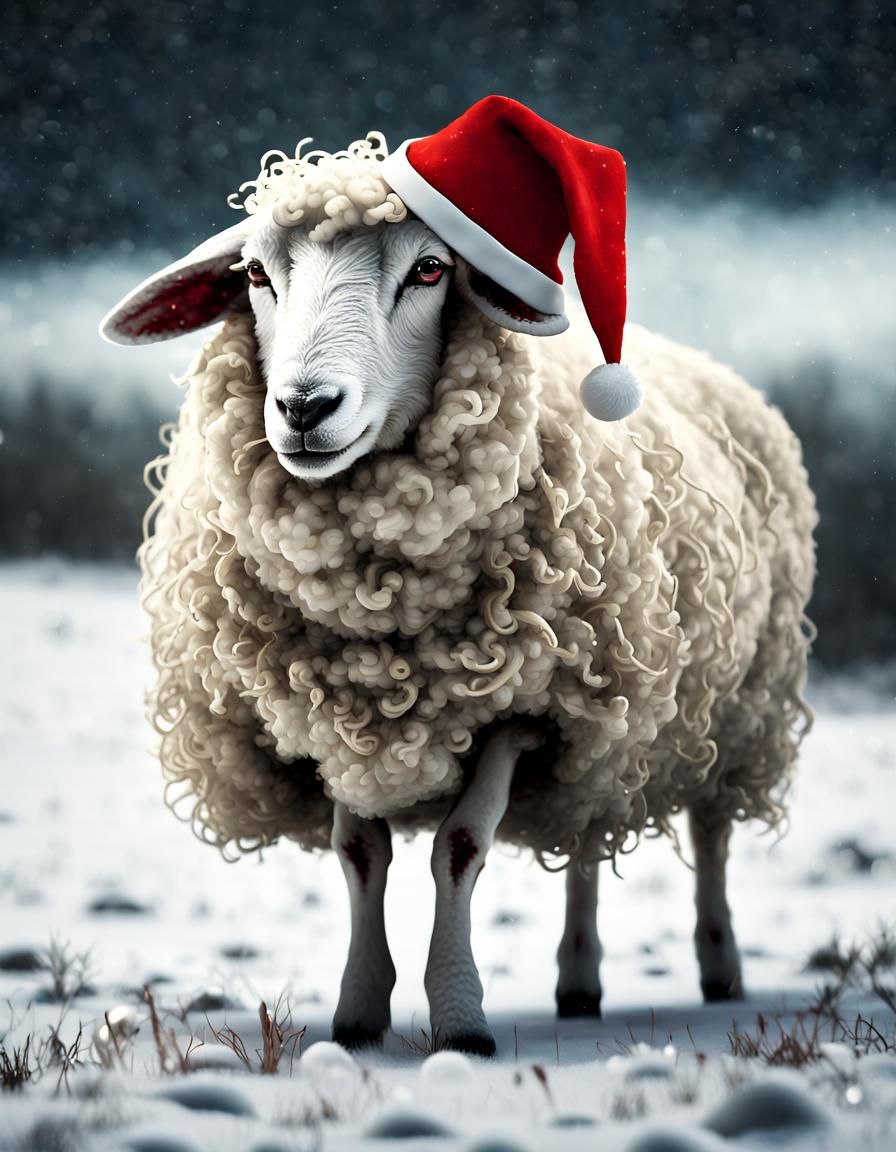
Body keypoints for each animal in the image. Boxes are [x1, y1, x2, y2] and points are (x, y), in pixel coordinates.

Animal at [101, 130, 816, 1056]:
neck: (378, 606)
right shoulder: (321, 704)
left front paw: (460, 1016)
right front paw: (359, 1012)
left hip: (722, 712)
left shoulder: (525, 706)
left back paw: (719, 967)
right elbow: (360, 855)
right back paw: (578, 982)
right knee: (586, 839)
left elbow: (461, 848)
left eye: (431, 269)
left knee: (712, 833)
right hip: (609, 717)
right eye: (255, 273)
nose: (304, 406)